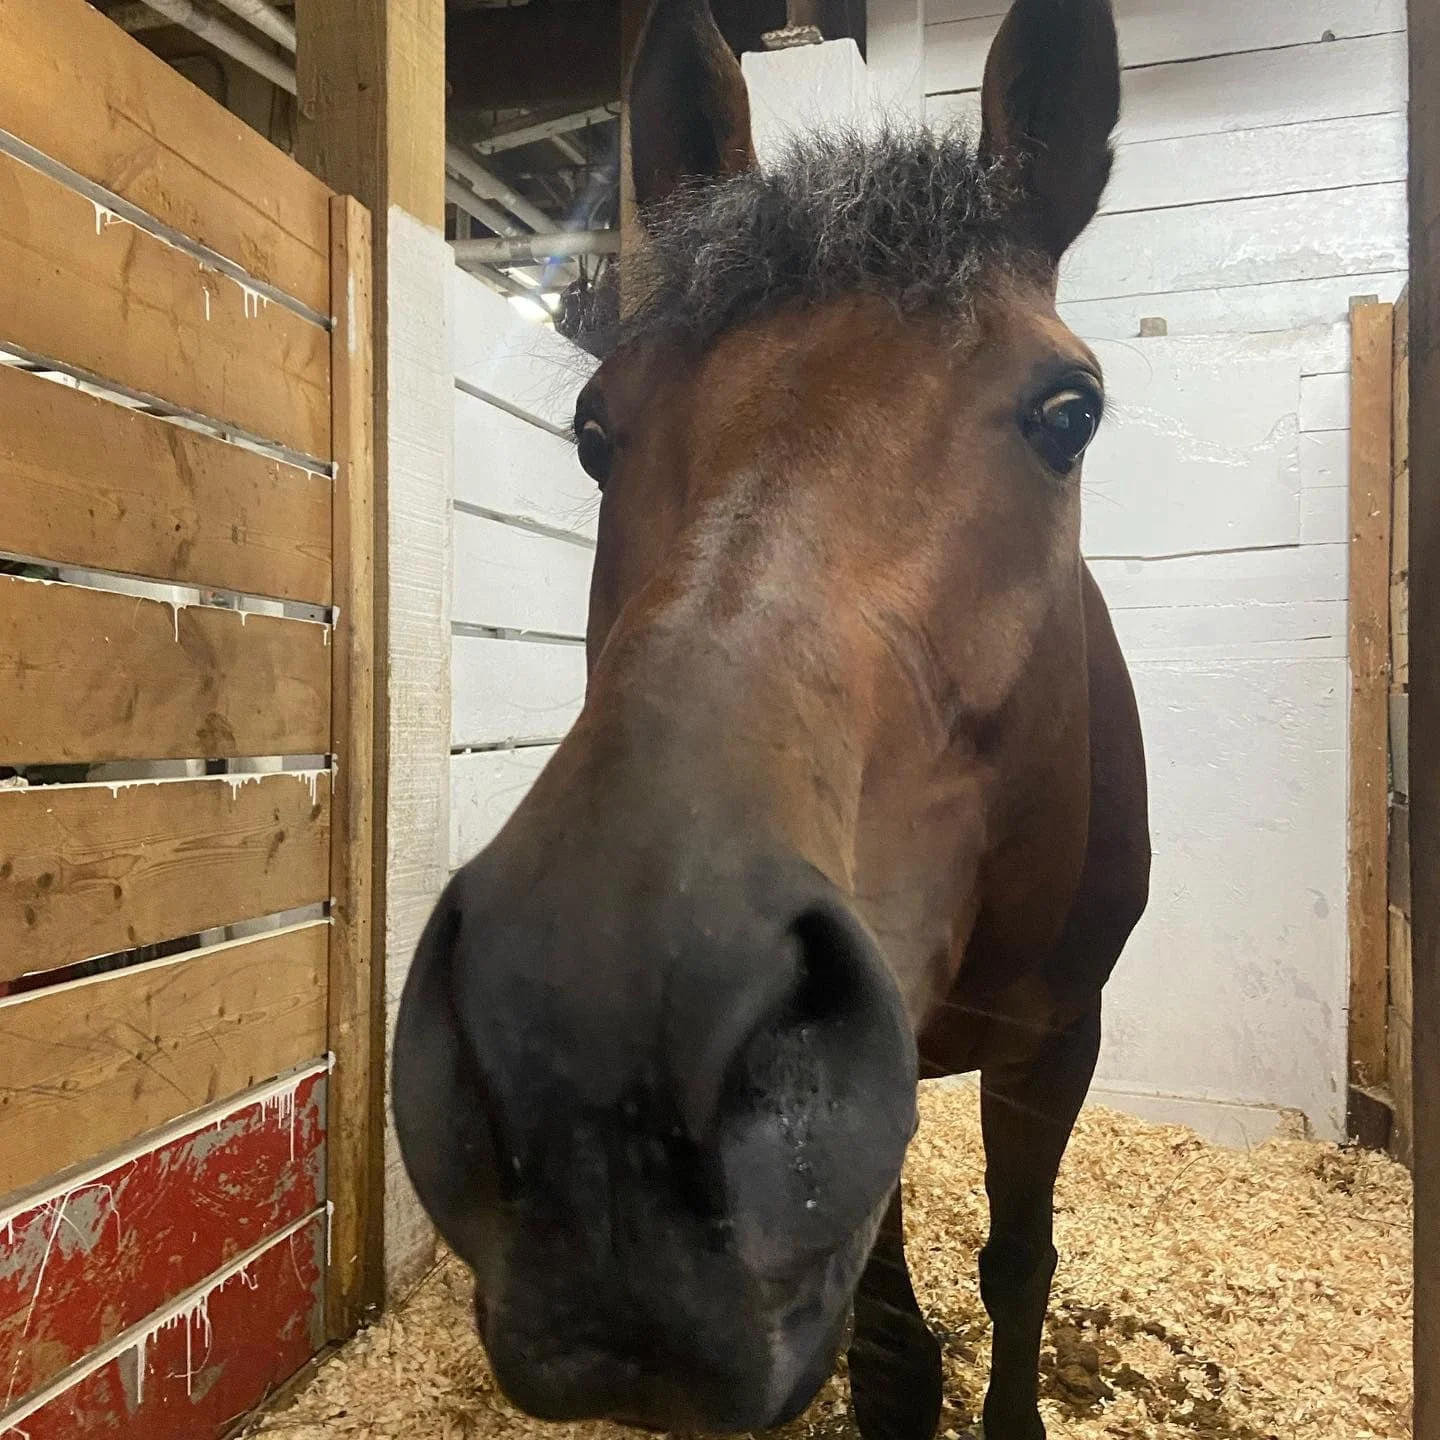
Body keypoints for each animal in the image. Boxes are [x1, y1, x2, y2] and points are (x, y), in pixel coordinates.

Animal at [393, 2, 1150, 1437]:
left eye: (1070, 414)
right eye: (594, 429)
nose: (595, 1038)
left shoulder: (1057, 1038)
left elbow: (1020, 1263)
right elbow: (890, 1332)